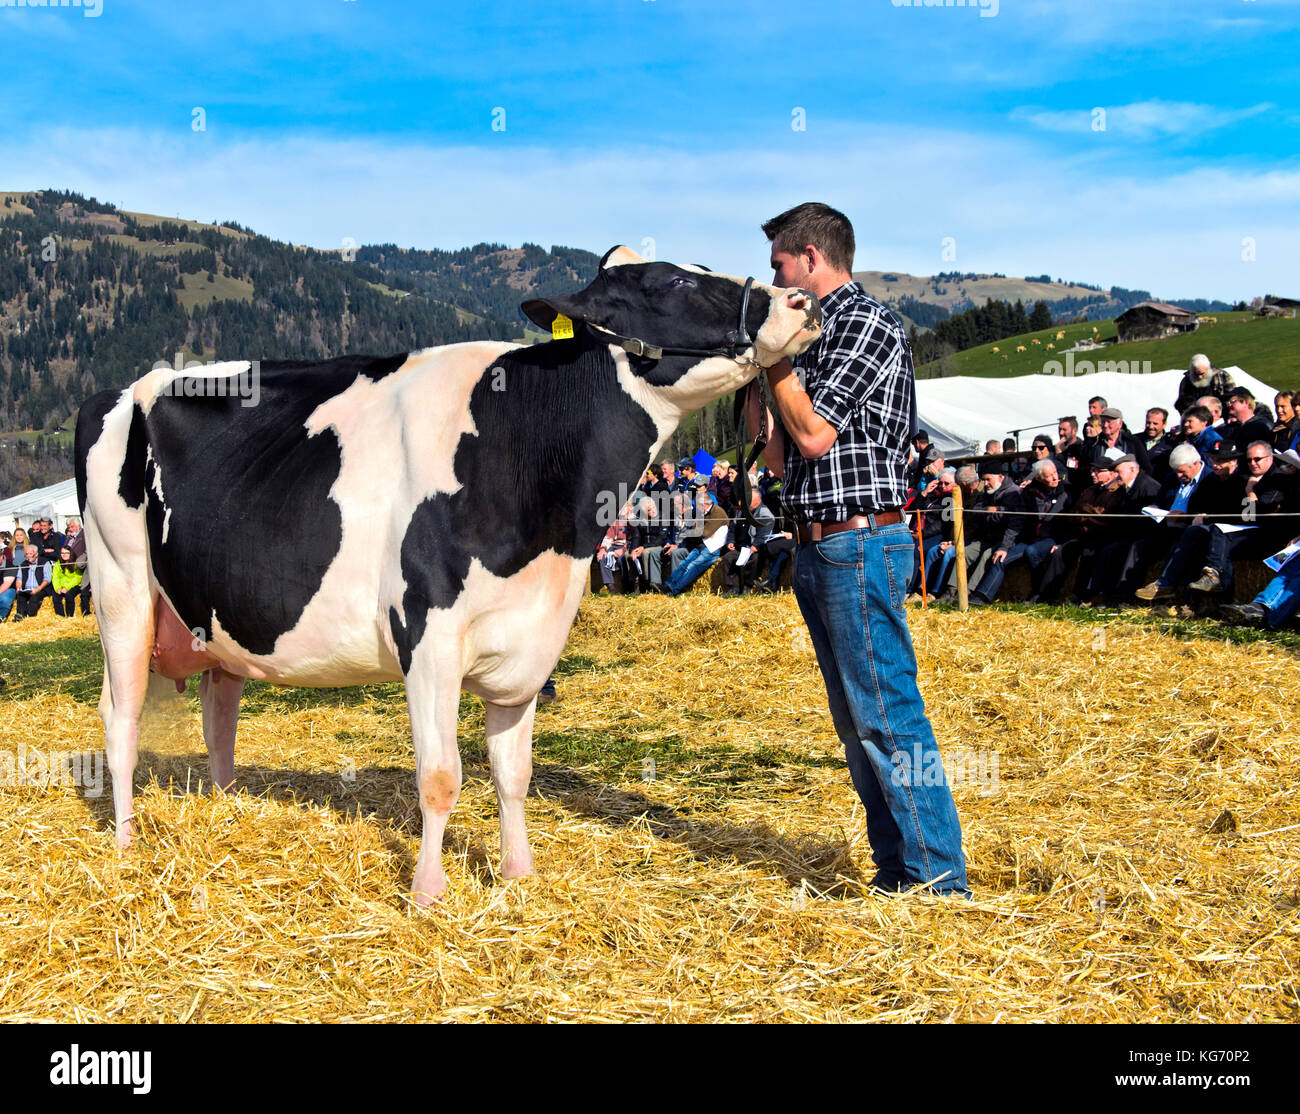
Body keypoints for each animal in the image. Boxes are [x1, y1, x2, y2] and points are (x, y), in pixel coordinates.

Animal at [75, 246, 822, 903]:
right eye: (672, 282)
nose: (800, 300)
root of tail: (122, 389)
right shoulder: (427, 636)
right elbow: (440, 777)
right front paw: (428, 893)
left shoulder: (530, 638)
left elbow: (513, 774)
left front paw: (518, 876)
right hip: (120, 585)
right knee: (121, 716)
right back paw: (125, 842)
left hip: (215, 613)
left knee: (219, 707)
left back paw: (229, 807)